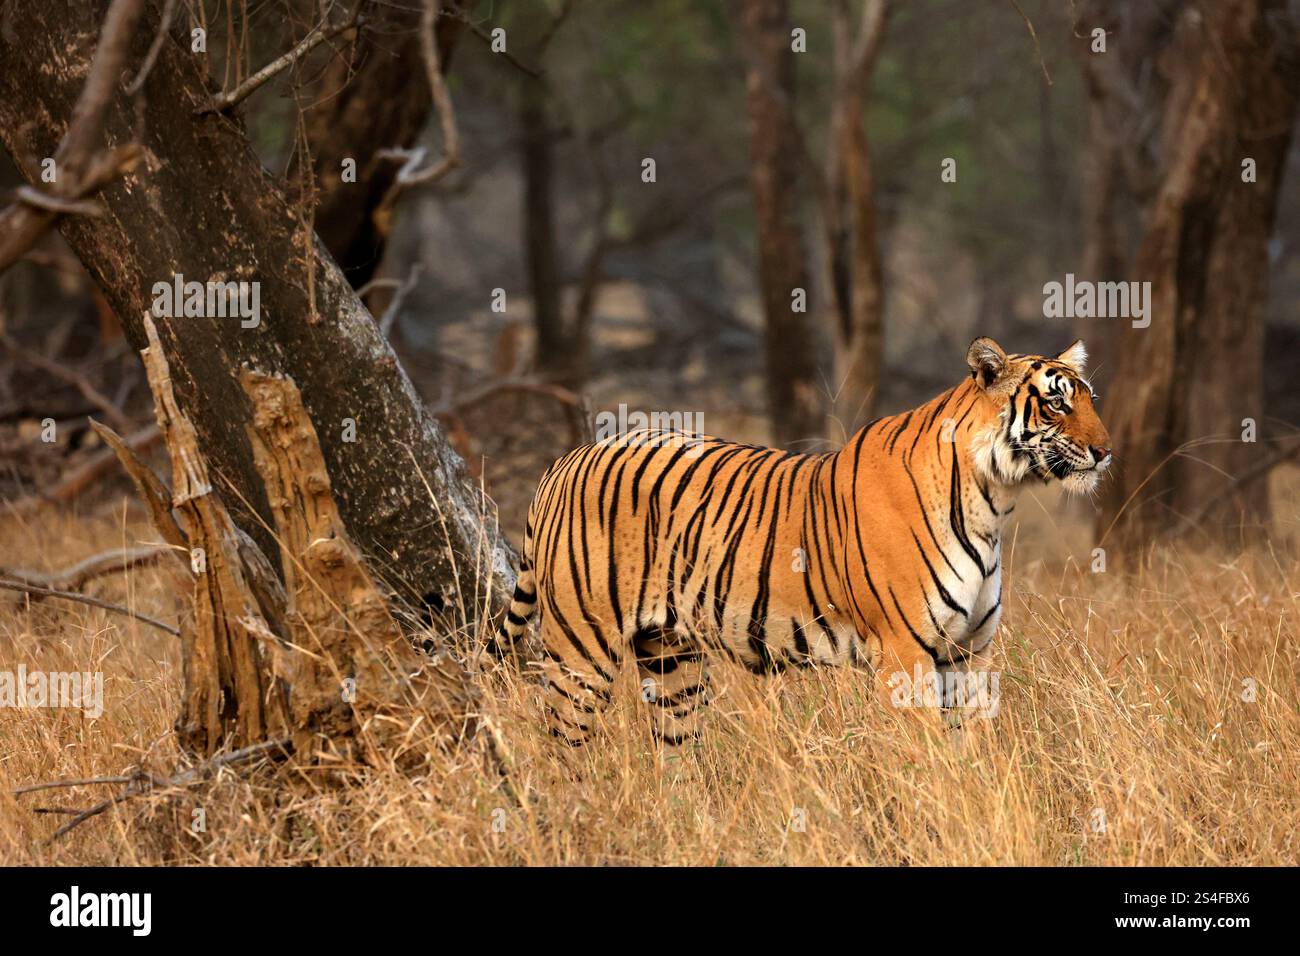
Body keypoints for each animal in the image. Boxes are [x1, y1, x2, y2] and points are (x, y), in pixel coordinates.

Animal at [494, 337, 1112, 744]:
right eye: (1057, 401)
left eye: (1089, 398)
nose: (1106, 451)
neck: (993, 501)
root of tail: (565, 461)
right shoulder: (906, 653)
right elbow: (927, 754)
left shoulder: (967, 654)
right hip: (582, 650)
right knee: (559, 748)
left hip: (672, 659)